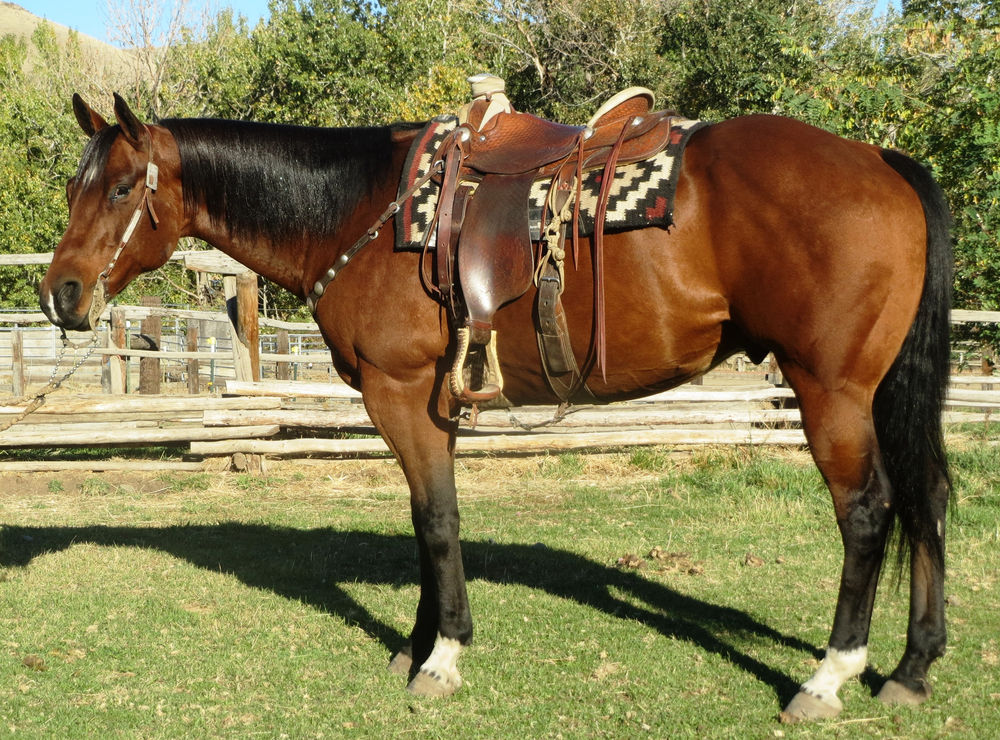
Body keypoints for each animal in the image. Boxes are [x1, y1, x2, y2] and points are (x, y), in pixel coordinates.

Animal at [39, 93, 952, 722]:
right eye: (79, 187)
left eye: (118, 189)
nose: (61, 294)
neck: (361, 210)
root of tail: (878, 160)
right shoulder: (427, 403)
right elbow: (425, 517)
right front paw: (416, 643)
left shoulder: (401, 393)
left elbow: (437, 519)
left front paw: (442, 656)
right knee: (927, 499)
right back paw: (912, 670)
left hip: (829, 389)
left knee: (868, 512)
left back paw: (828, 676)